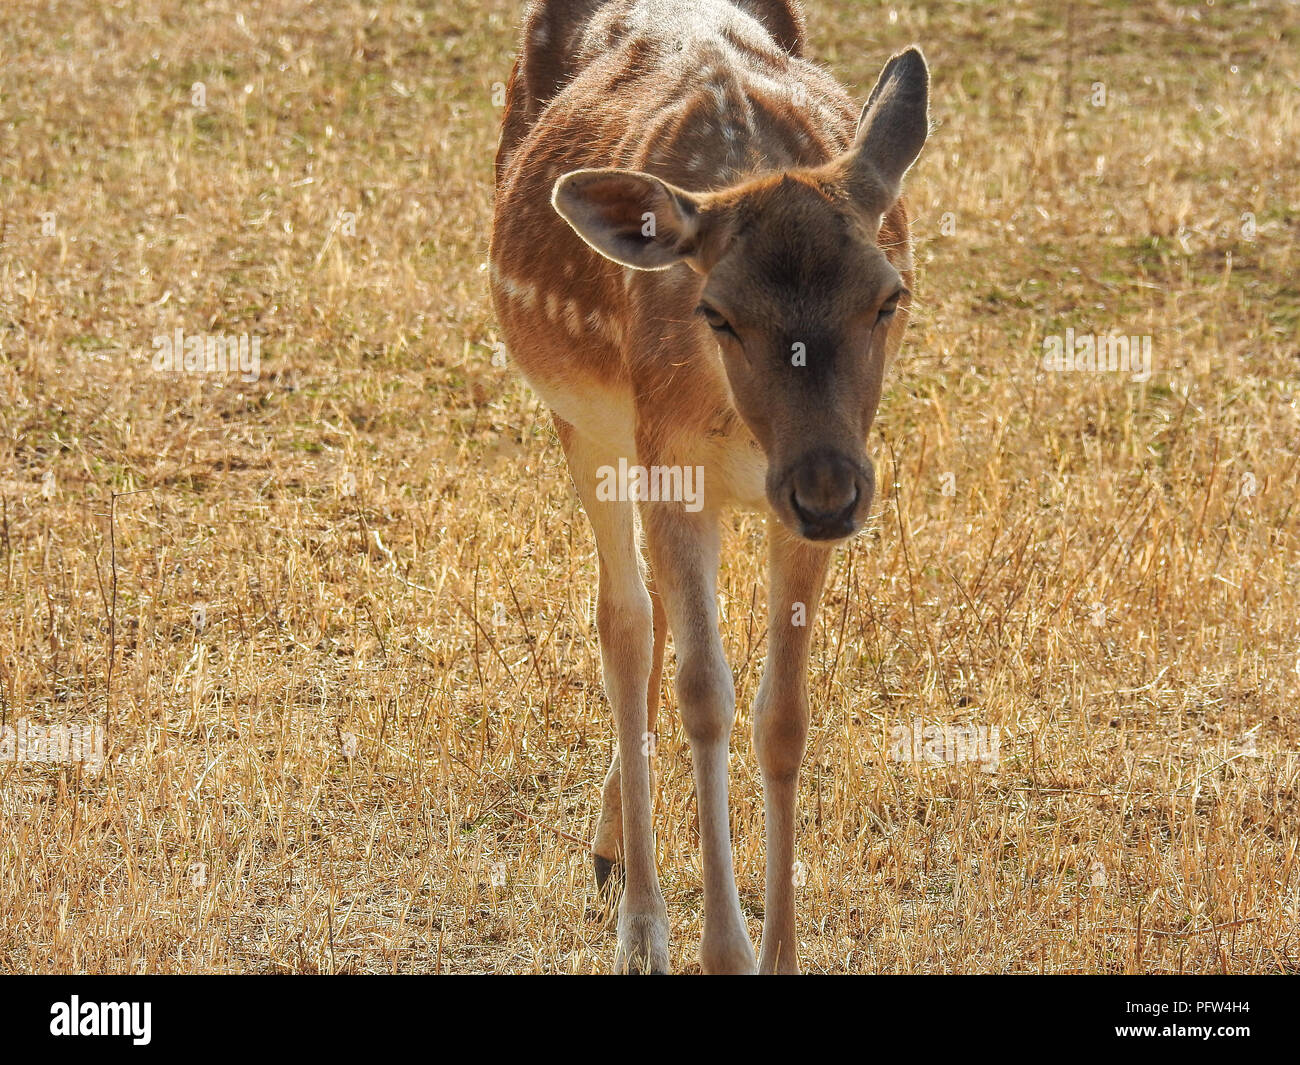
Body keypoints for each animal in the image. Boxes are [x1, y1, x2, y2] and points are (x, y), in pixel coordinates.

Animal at [489, 0, 929, 974]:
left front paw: (783, 954)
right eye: (718, 312)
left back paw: (611, 847)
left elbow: (783, 714)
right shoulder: (671, 461)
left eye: (888, 297)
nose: (829, 490)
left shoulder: (792, 516)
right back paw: (640, 917)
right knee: (623, 620)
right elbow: (704, 694)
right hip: (588, 425)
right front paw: (720, 951)